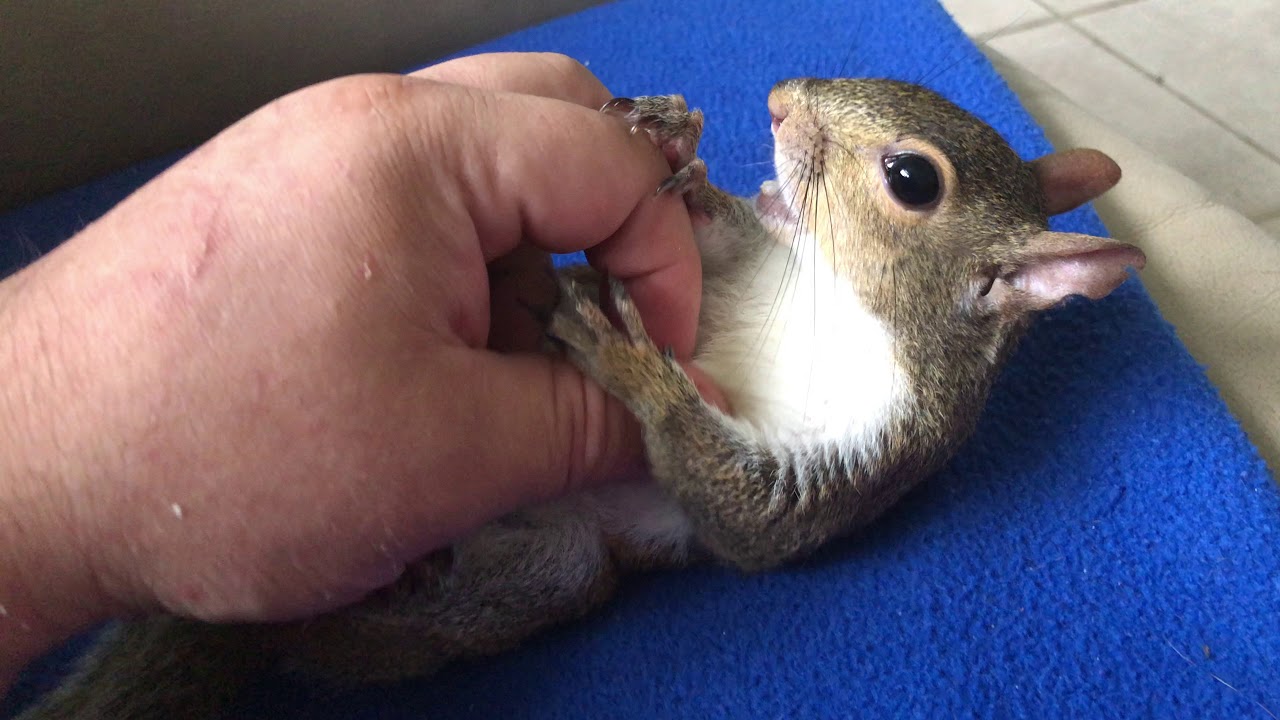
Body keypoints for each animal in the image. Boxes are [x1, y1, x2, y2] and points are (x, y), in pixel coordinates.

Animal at [13, 78, 1145, 719]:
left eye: (912, 179)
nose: (780, 99)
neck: (830, 293)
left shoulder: (867, 458)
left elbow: (741, 514)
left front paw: (630, 364)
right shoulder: (740, 269)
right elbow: (707, 231)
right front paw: (671, 137)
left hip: (553, 569)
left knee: (336, 634)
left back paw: (383, 596)